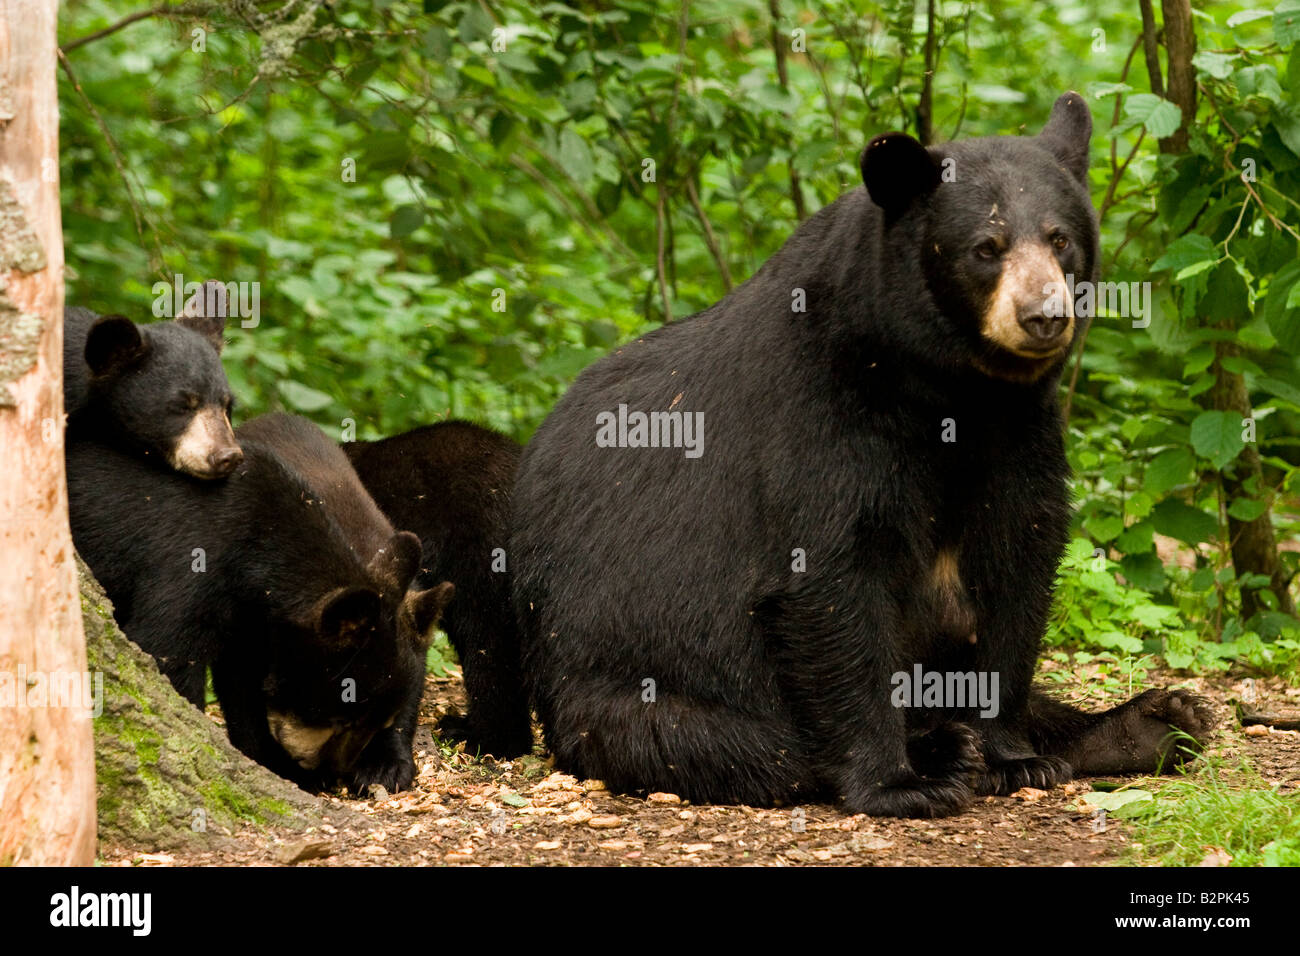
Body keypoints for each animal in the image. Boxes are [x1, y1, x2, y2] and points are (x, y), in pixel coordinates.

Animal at [67, 411, 453, 793]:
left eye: (372, 721)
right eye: (340, 717)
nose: (336, 771)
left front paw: (384, 765)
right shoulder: (188, 574)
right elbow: (167, 651)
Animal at [508, 92, 1215, 818]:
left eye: (1060, 238)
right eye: (985, 248)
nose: (1043, 316)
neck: (949, 389)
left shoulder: (1020, 433)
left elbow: (1016, 568)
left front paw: (1012, 755)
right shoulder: (824, 420)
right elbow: (833, 578)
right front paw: (900, 781)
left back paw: (1153, 723)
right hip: (621, 673)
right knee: (739, 744)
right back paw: (940, 748)